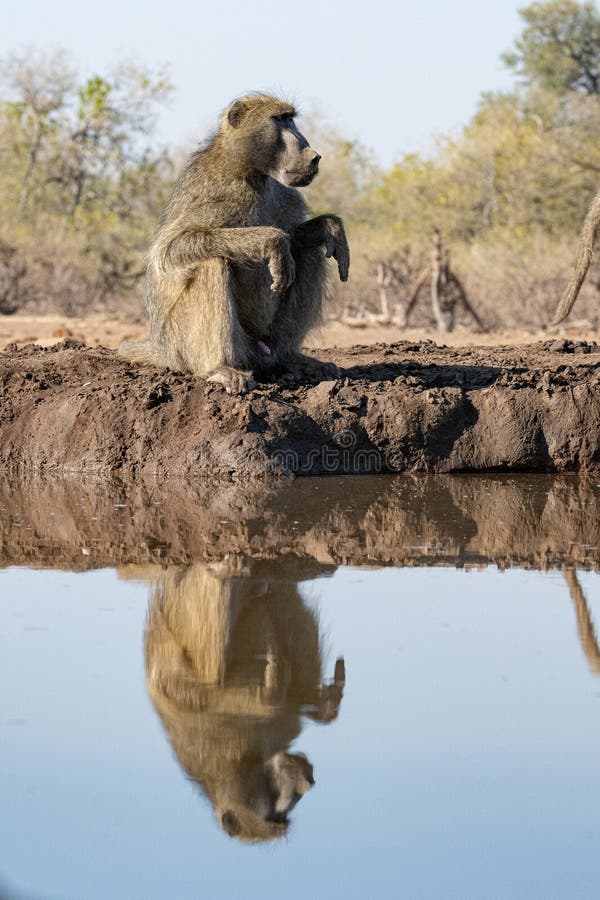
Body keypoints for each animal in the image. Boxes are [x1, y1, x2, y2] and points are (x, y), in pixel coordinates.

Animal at [120, 94, 350, 394]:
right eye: (279, 120)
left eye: (290, 119)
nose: (314, 156)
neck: (251, 172)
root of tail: (164, 352)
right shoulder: (217, 192)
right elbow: (169, 249)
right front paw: (272, 241)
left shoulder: (283, 193)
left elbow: (296, 236)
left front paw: (329, 227)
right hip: (187, 346)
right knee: (212, 261)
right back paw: (219, 369)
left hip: (265, 344)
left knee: (309, 252)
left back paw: (290, 359)